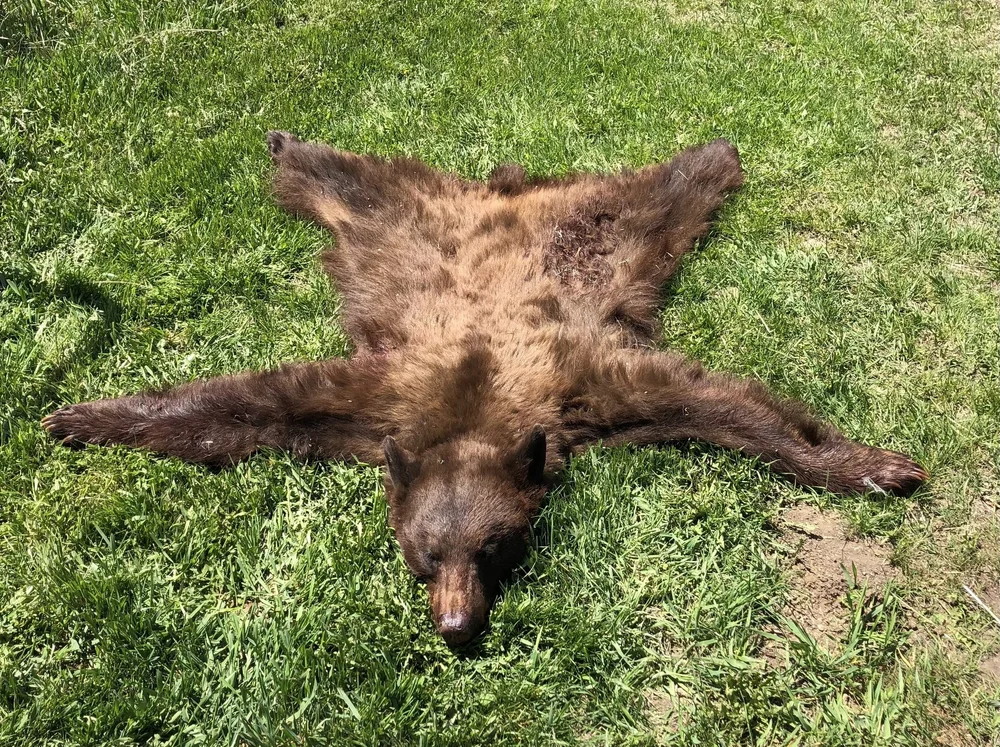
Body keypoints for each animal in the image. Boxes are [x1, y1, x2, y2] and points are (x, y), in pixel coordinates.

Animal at [43, 132, 927, 647]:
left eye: (494, 546)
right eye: (423, 553)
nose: (458, 626)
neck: (474, 400)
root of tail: (502, 192)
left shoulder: (589, 382)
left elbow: (730, 407)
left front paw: (872, 463)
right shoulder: (377, 394)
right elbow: (244, 404)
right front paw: (84, 414)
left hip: (624, 230)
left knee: (680, 186)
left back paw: (716, 148)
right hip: (390, 215)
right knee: (334, 176)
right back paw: (286, 138)